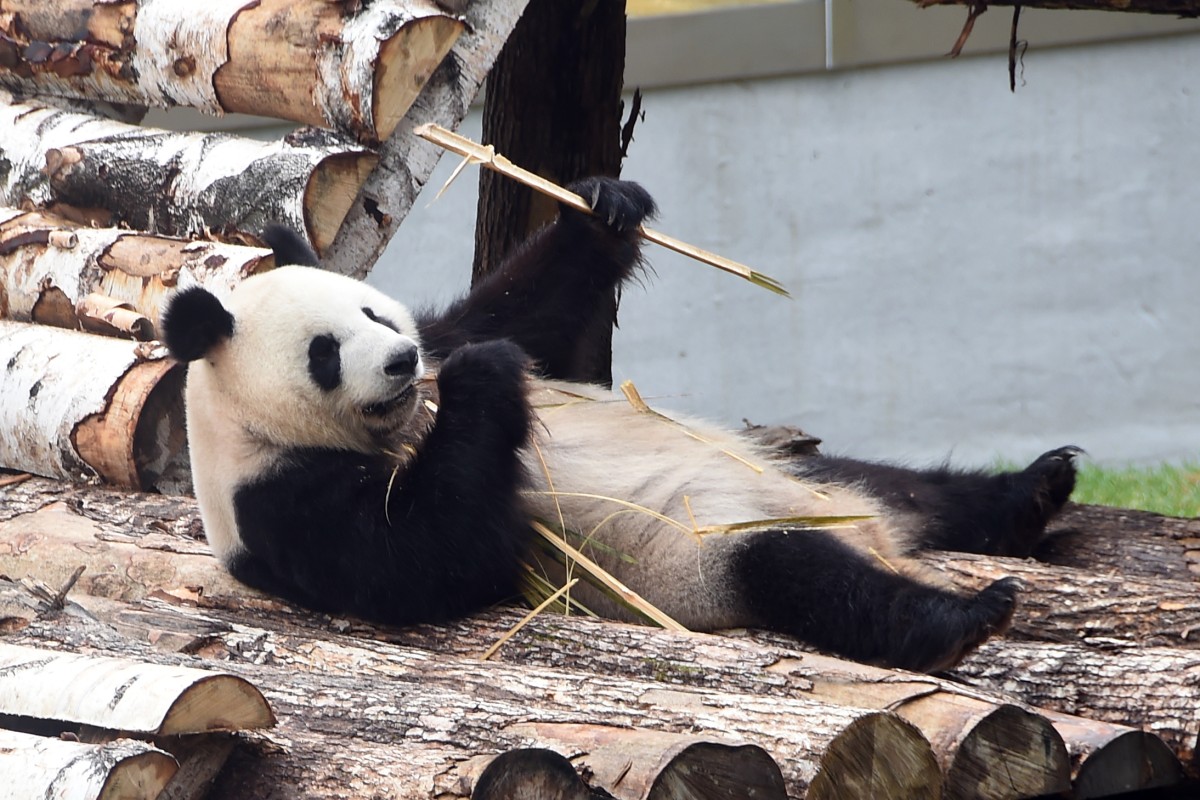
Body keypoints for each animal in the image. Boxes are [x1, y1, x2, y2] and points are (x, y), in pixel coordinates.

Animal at [161, 177, 1079, 673]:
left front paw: (599, 208)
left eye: (371, 311)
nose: (399, 363)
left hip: (803, 472)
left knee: (909, 487)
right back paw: (960, 620)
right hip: (706, 557)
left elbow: (523, 315)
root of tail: (880, 534)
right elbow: (428, 562)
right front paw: (483, 379)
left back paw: (1031, 493)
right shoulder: (280, 498)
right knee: (804, 572)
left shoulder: (448, 328)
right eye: (324, 352)